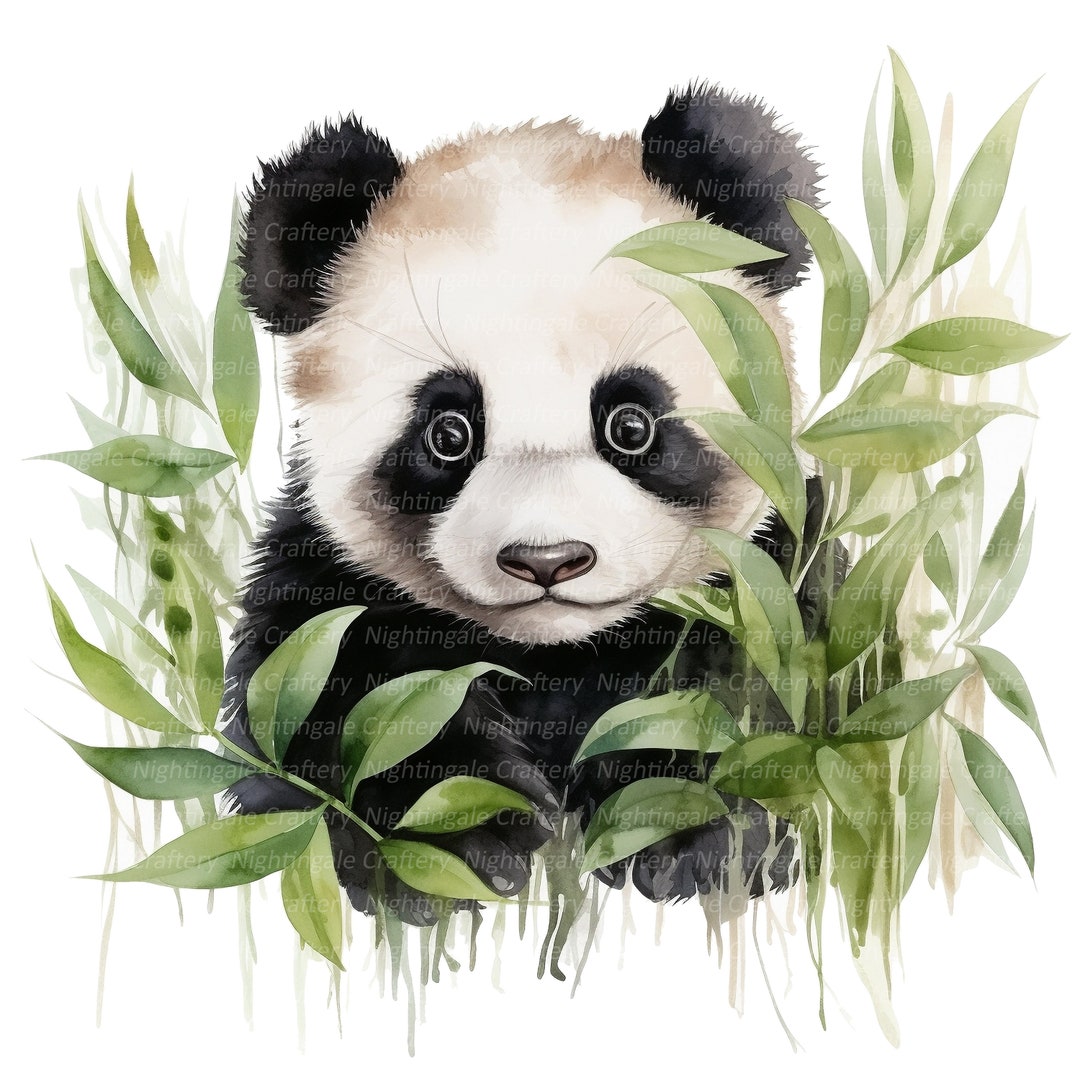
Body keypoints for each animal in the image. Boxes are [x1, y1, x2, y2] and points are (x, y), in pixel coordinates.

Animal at [223, 85, 826, 926]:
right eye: (448, 432)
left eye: (631, 424)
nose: (547, 561)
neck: (552, 654)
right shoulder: (324, 586)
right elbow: (339, 695)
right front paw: (454, 845)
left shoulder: (768, 570)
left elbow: (748, 682)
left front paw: (692, 840)